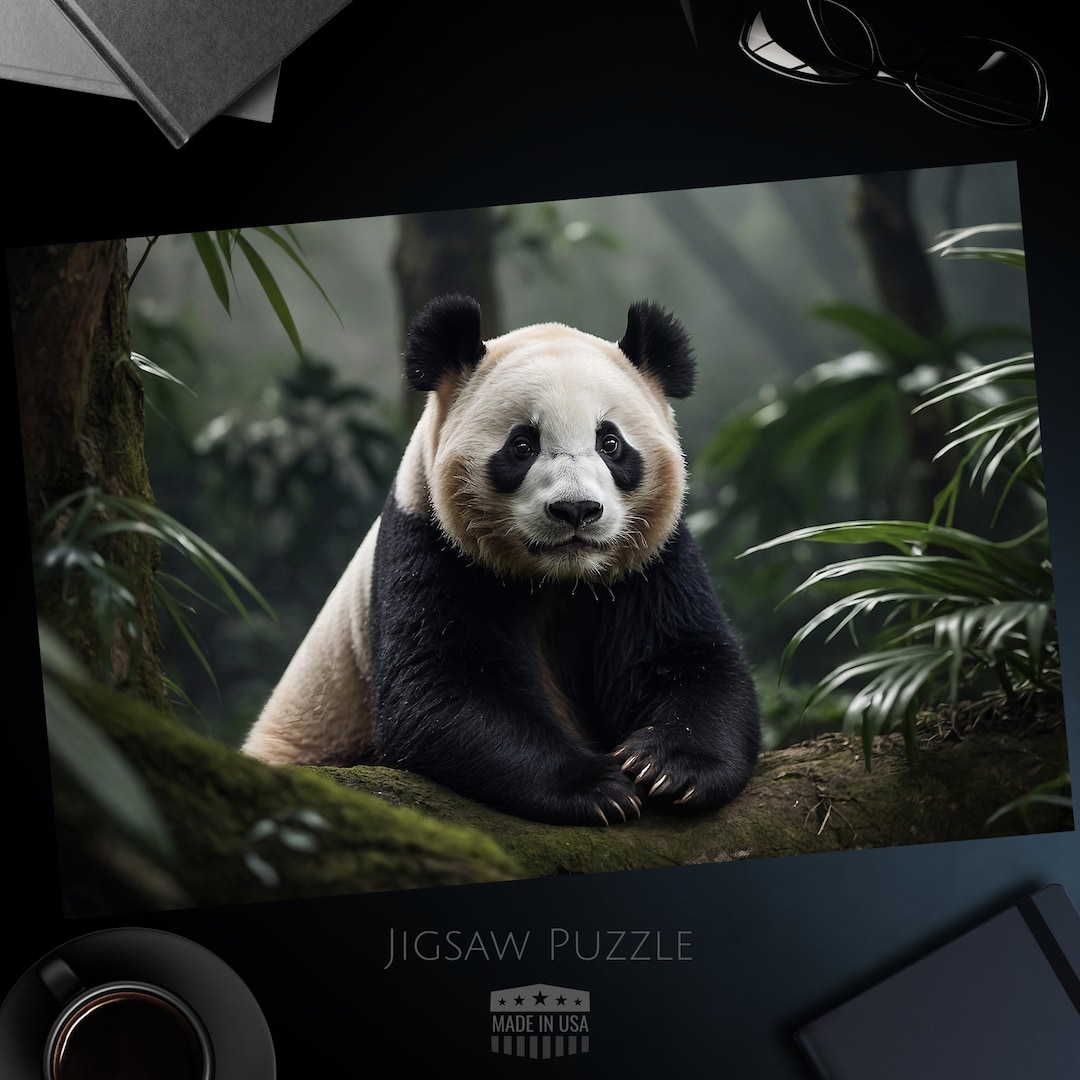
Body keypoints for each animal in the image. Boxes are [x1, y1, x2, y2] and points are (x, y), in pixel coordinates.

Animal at [242, 294, 761, 826]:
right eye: (522, 445)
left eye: (611, 443)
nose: (576, 510)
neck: (560, 578)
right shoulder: (429, 542)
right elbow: (440, 686)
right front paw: (596, 787)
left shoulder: (652, 560)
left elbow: (690, 657)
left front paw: (670, 766)